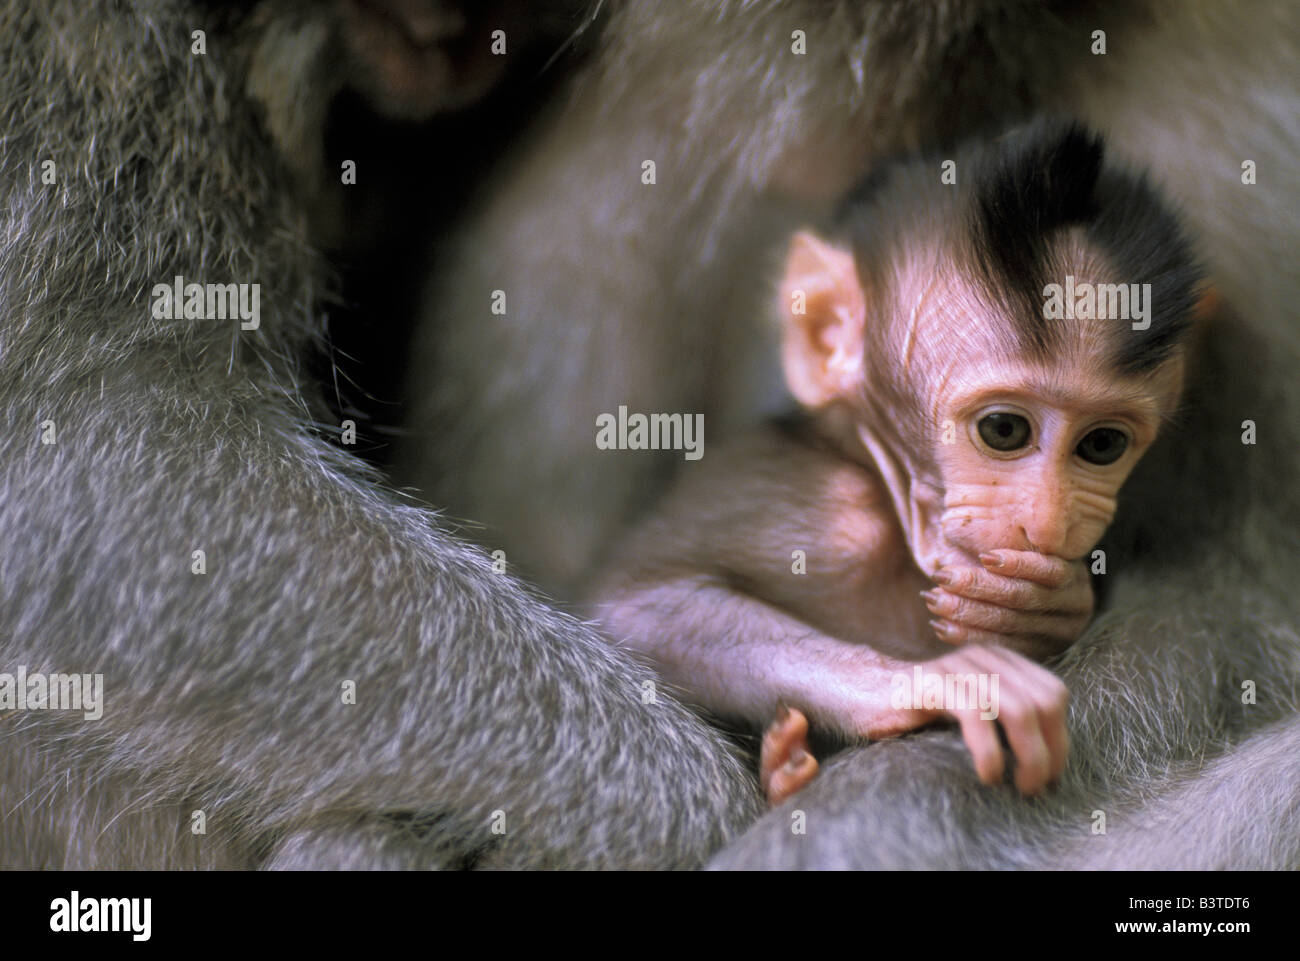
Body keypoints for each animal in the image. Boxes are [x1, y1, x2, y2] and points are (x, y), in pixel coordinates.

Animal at [589, 122, 1201, 805]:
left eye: (1102, 445)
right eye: (1004, 430)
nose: (1047, 524)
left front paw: (1049, 607)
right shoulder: (815, 507)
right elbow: (635, 609)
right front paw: (933, 681)